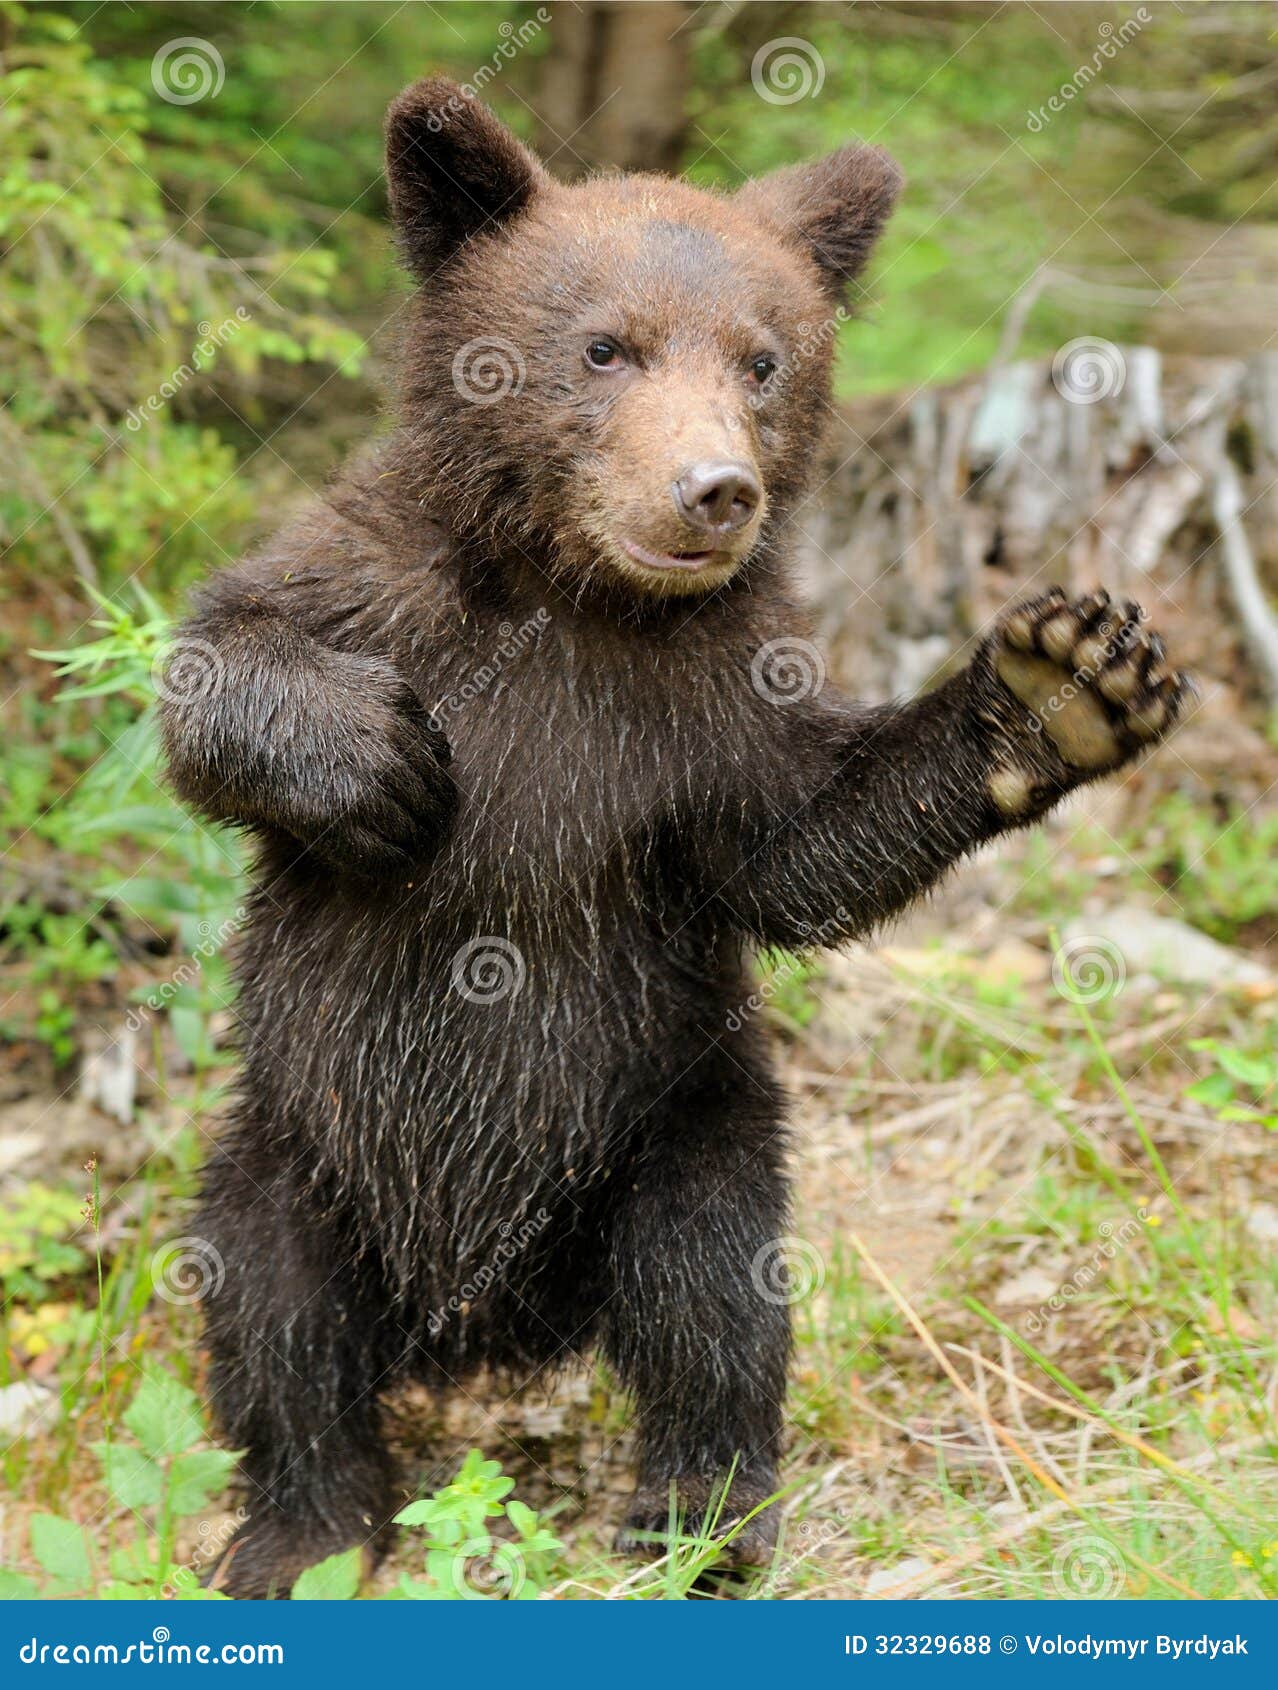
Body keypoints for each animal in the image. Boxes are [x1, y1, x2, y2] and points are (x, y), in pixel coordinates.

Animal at [159, 76, 1192, 1598]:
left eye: (761, 361)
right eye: (604, 346)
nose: (713, 488)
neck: (577, 596)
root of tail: (485, 1324)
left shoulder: (710, 709)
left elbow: (798, 852)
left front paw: (1062, 680)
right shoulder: (371, 581)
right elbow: (212, 671)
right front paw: (379, 762)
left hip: (677, 1117)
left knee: (709, 1295)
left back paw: (696, 1521)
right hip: (299, 1138)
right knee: (272, 1306)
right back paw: (306, 1527)